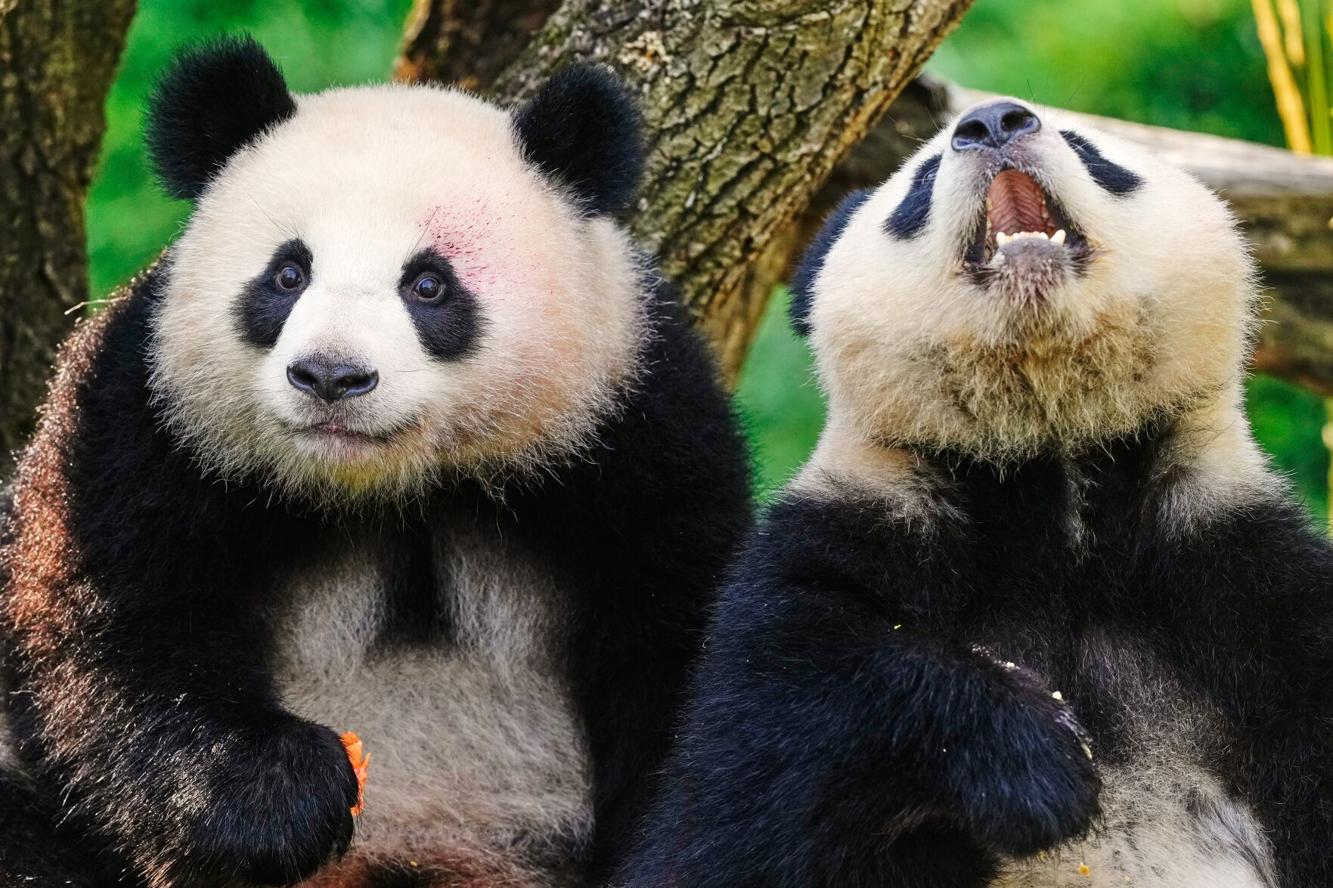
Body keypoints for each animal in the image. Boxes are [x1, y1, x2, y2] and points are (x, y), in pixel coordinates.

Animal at [0, 37, 751, 888]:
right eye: (287, 274)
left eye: (428, 284)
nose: (331, 376)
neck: (393, 486)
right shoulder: (146, 411)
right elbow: (116, 625)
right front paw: (282, 794)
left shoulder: (637, 424)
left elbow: (683, 654)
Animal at [616, 98, 1333, 887]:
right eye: (919, 183)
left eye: (1087, 147)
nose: (991, 122)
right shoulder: (844, 542)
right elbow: (761, 747)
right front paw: (1037, 763)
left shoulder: (1237, 575)